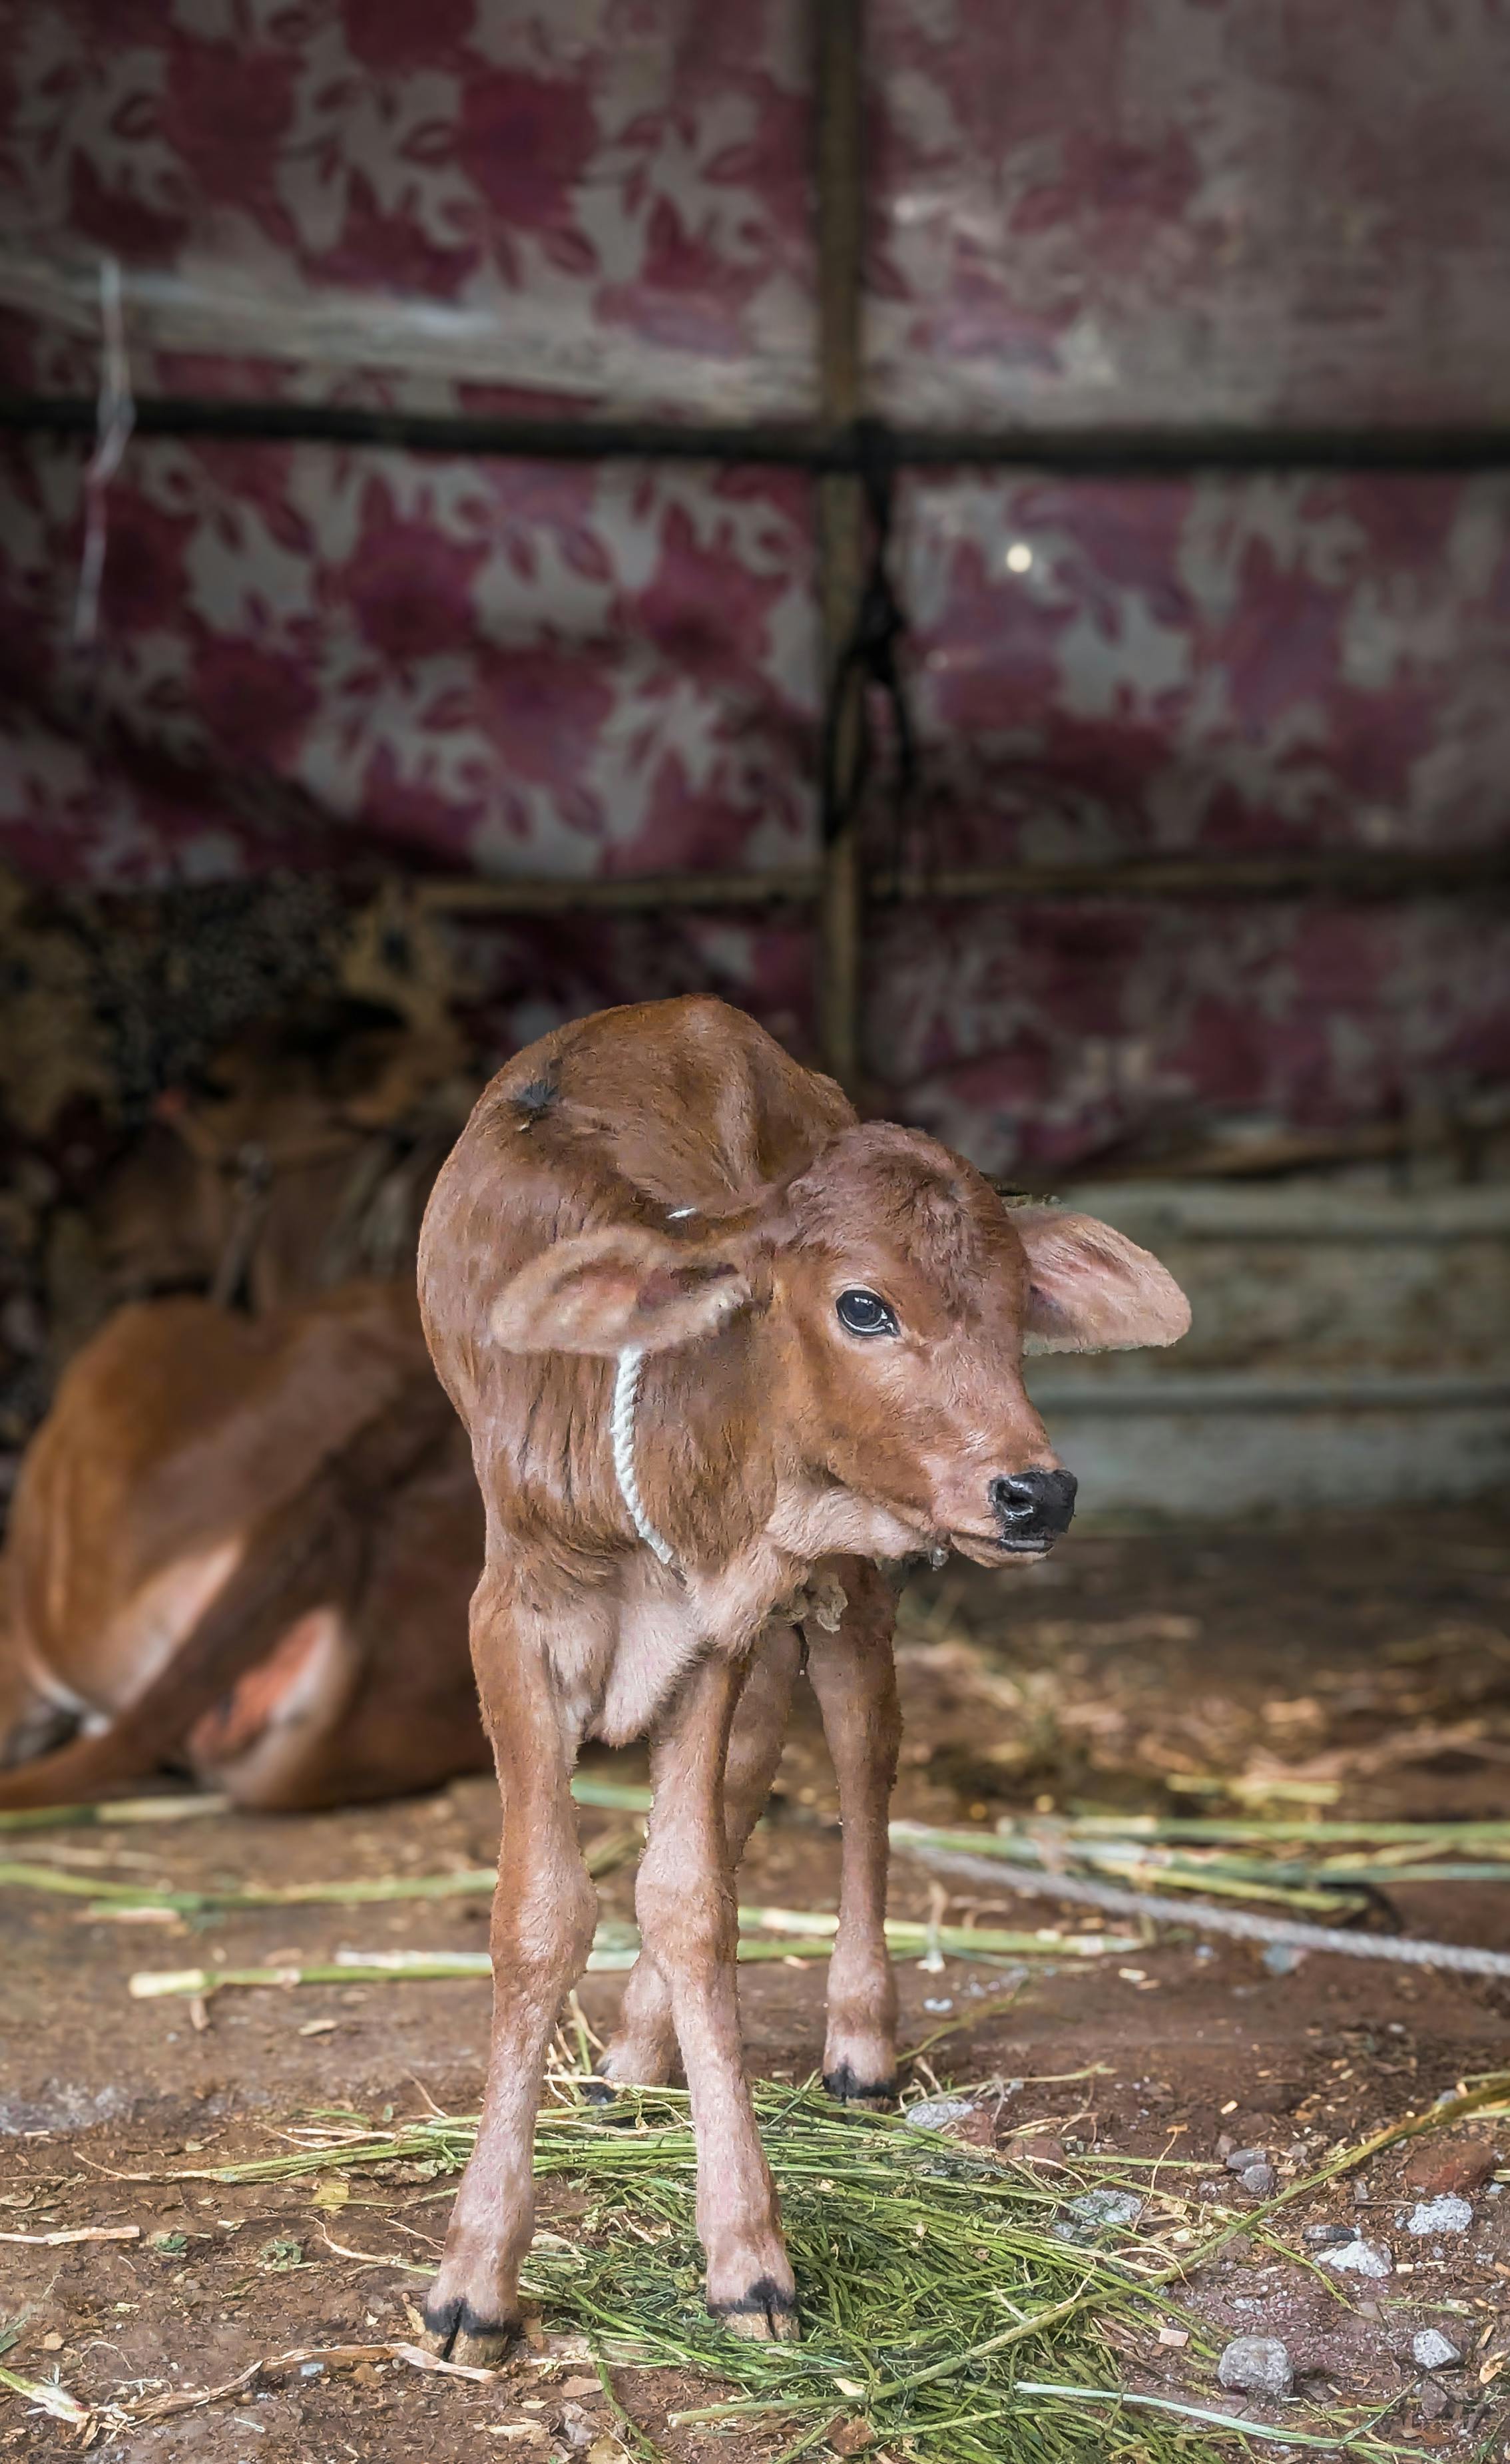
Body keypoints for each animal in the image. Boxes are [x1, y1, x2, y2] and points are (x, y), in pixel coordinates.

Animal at [414, 993, 1190, 2364]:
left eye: (1017, 1309)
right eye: (864, 1307)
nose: (1036, 1492)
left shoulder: (716, 1614)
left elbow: (692, 1899)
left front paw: (745, 2257)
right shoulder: (513, 1620)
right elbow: (545, 1912)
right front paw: (475, 2277)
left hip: (855, 1573)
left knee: (857, 1747)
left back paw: (856, 2038)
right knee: (751, 1770)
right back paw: (633, 2051)